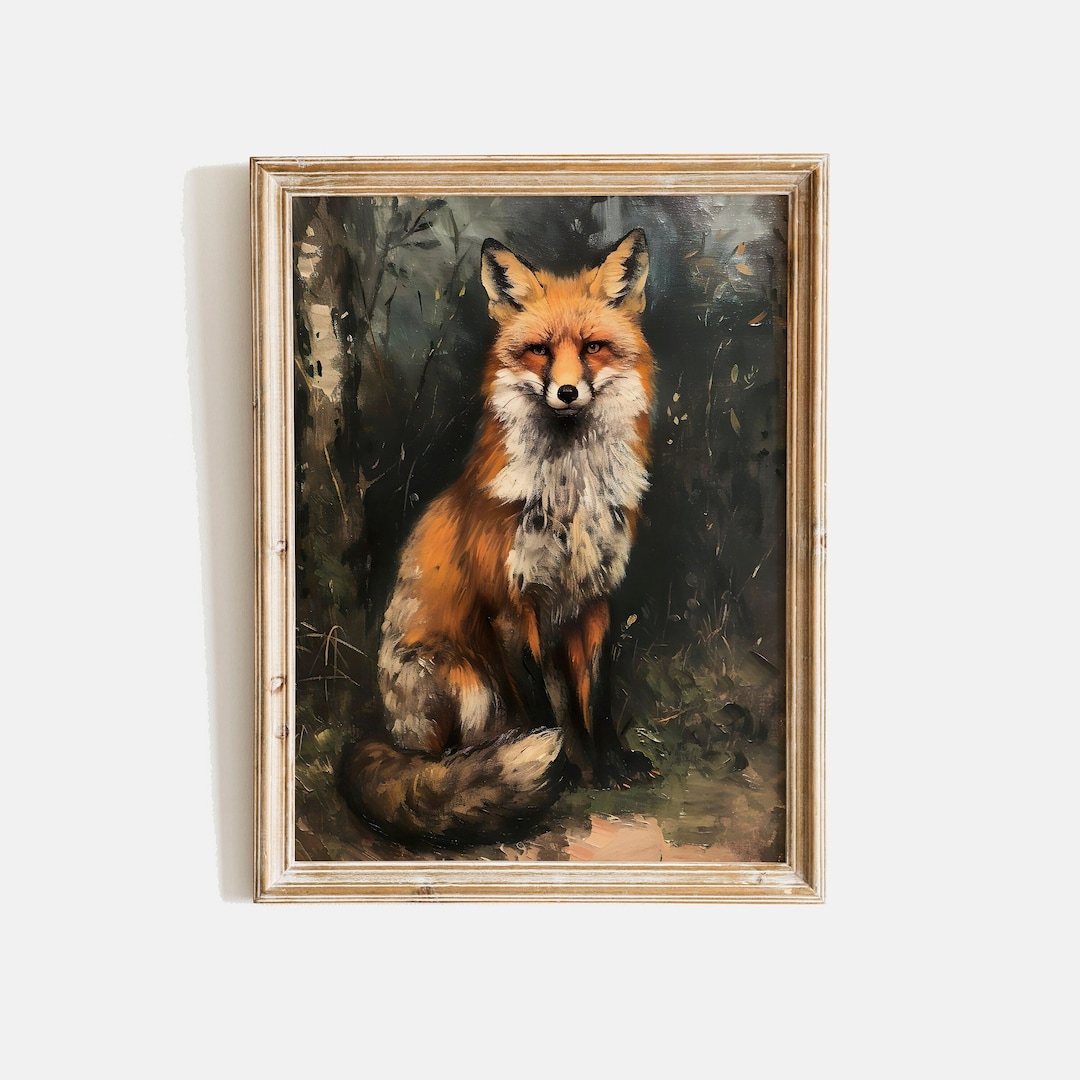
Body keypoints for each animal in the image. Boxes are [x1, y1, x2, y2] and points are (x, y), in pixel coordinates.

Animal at [341, 228, 657, 845]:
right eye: (539, 350)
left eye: (593, 347)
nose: (566, 392)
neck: (568, 496)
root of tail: (385, 734)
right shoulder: (511, 604)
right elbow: (541, 710)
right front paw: (565, 773)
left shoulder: (594, 600)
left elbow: (597, 700)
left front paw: (608, 765)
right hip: (462, 676)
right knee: (444, 760)